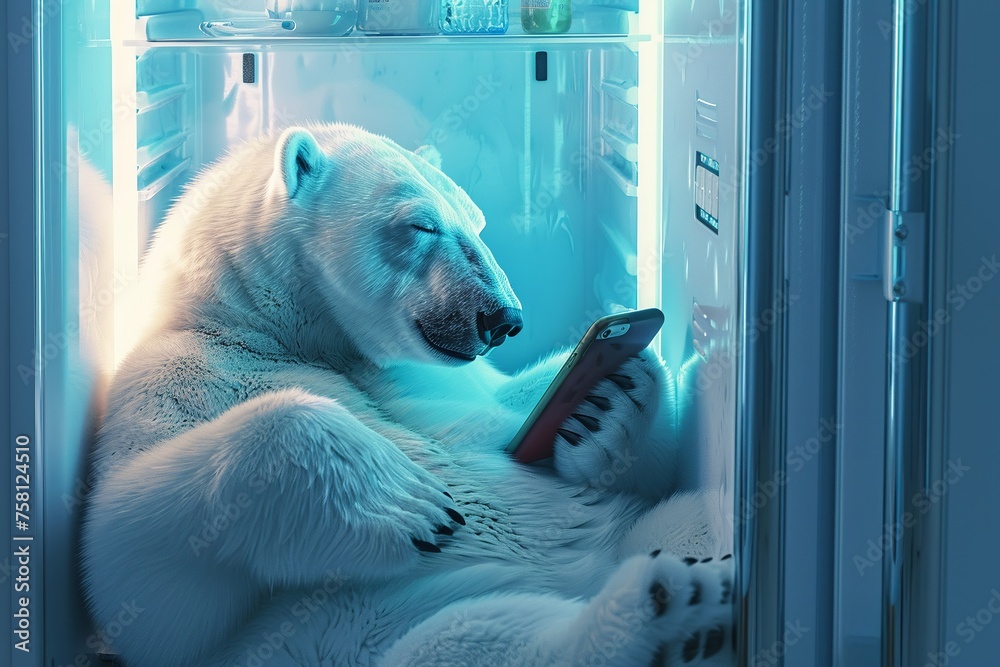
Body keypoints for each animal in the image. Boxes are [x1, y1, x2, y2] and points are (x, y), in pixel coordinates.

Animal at [81, 123, 734, 667]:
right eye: (421, 225)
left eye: (477, 222)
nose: (504, 318)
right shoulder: (185, 373)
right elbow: (135, 574)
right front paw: (405, 499)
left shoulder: (442, 379)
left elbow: (522, 413)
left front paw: (611, 396)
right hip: (360, 625)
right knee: (468, 637)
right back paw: (662, 613)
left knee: (686, 519)